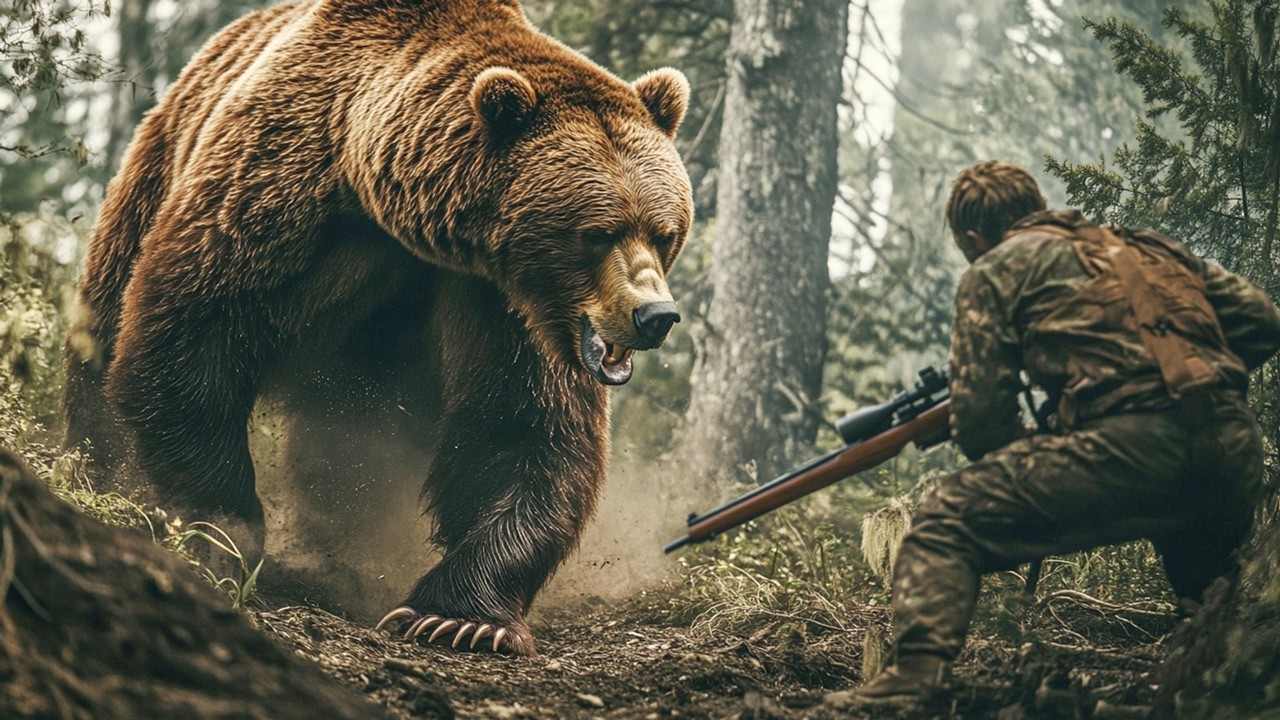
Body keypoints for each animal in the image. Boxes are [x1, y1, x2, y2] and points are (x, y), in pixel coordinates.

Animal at [63, 0, 692, 656]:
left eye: (664, 231)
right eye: (598, 232)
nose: (656, 316)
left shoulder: (501, 298)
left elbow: (520, 423)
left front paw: (460, 618)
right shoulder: (274, 201)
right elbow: (188, 346)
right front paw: (225, 538)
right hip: (154, 173)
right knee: (100, 345)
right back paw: (96, 477)